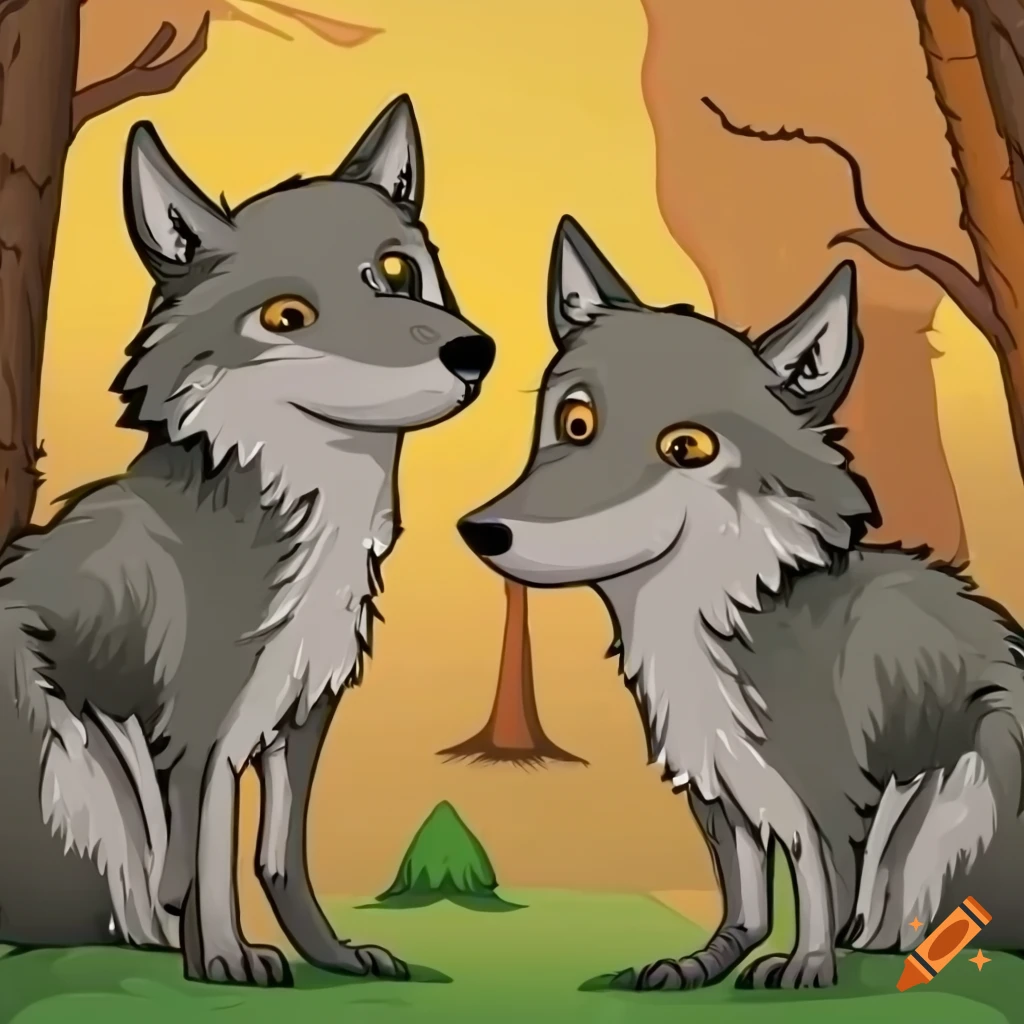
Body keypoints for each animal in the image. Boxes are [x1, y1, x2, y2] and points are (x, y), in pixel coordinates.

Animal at [0, 95, 495, 988]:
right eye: (287, 317)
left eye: (397, 271)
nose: (472, 352)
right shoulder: (202, 729)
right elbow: (211, 853)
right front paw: (226, 959)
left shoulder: (300, 716)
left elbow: (279, 858)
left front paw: (330, 956)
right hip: (81, 758)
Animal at [457, 215, 1024, 990]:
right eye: (574, 424)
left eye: (687, 446)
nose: (482, 530)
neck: (715, 620)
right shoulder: (720, 784)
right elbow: (746, 901)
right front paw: (708, 962)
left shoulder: (825, 787)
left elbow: (817, 886)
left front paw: (808, 967)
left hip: (965, 787)